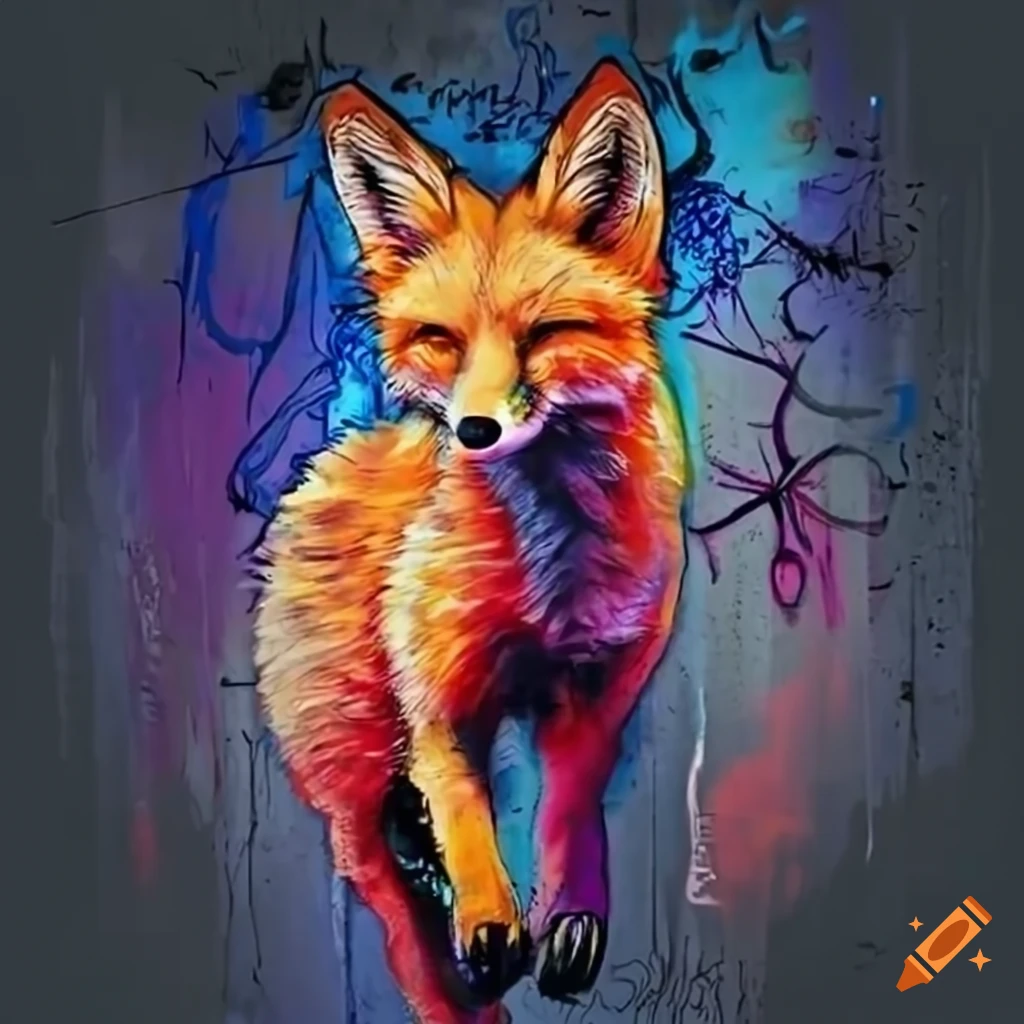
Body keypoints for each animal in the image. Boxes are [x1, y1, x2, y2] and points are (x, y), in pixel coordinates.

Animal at [253, 58, 687, 1024]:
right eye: (442, 341)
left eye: (549, 333)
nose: (476, 431)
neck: (547, 571)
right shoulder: (436, 692)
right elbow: (458, 801)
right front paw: (491, 917)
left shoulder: (607, 678)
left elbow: (573, 802)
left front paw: (569, 917)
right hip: (352, 763)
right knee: (390, 886)